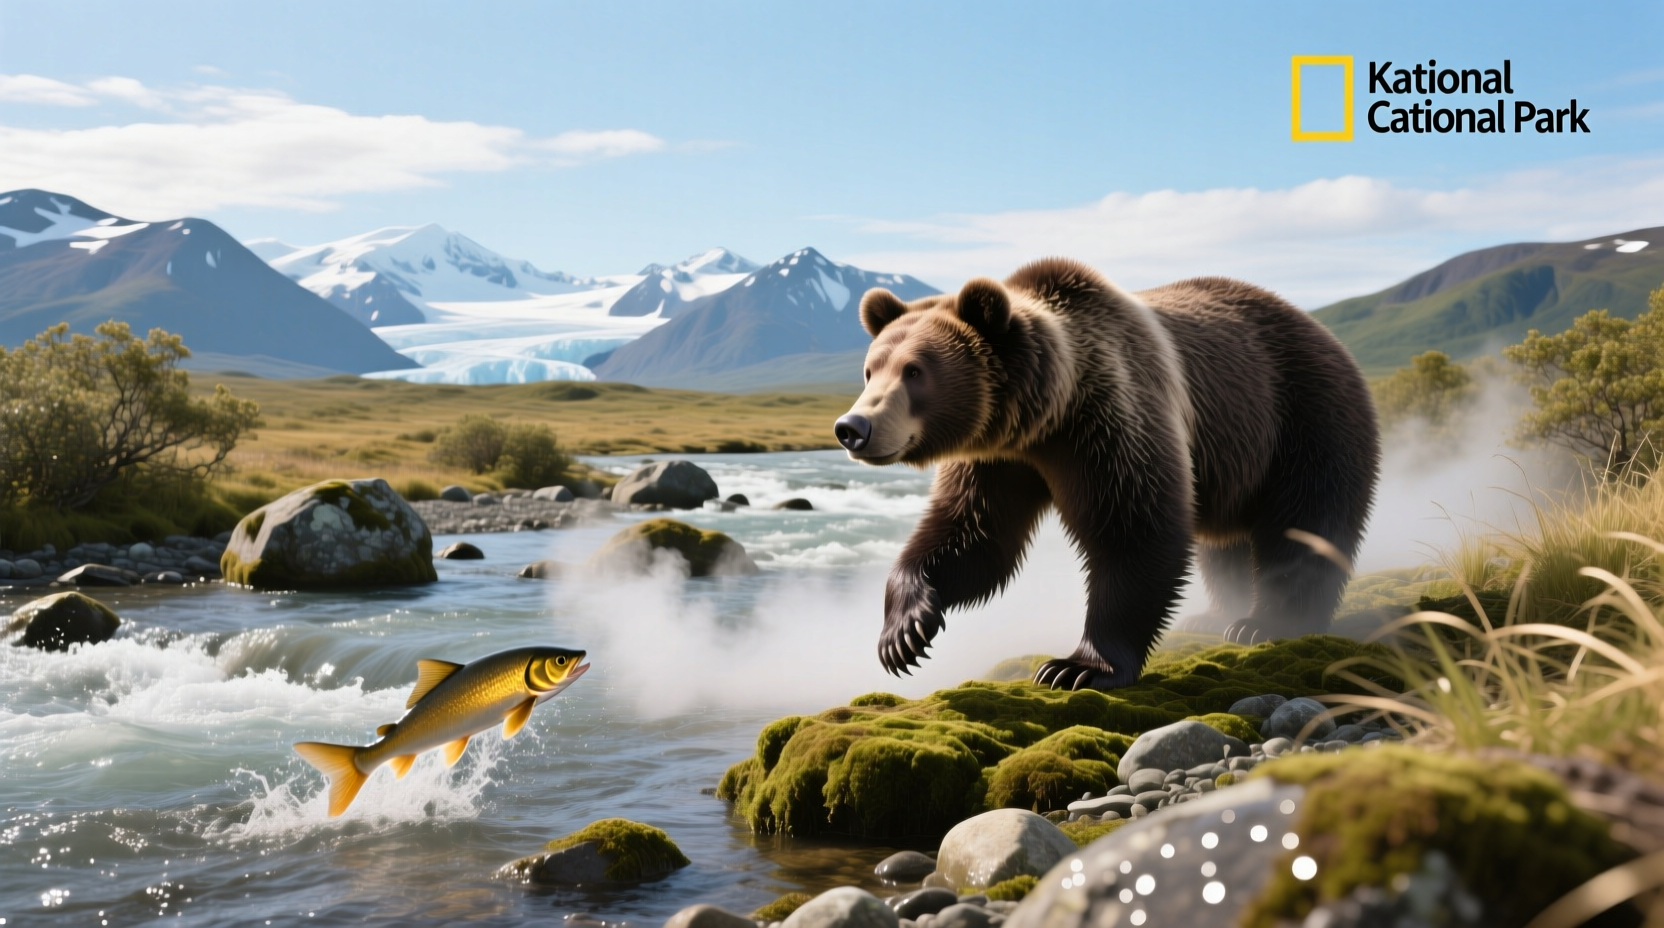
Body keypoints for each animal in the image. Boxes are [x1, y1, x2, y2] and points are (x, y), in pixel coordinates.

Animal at [833, 258, 1379, 690]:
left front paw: (1076, 667)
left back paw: (1268, 622)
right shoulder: (999, 459)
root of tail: (1325, 332)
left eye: (915, 371)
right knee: (1223, 546)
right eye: (870, 369)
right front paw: (903, 634)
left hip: (1301, 416)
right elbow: (971, 534)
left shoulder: (1111, 418)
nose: (852, 427)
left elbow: (1134, 530)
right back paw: (1217, 615)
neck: (1045, 415)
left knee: (1306, 521)